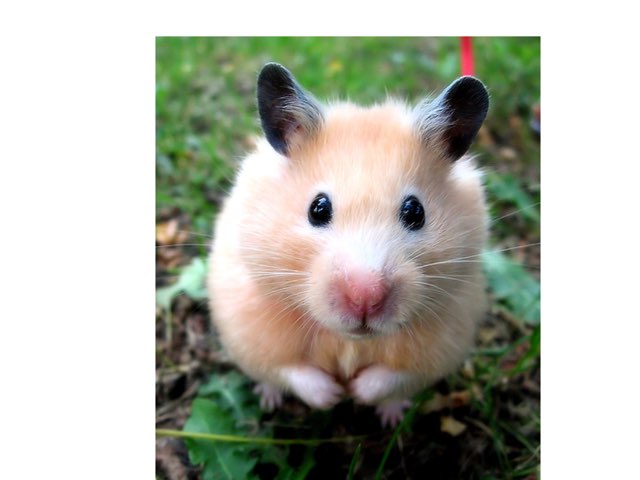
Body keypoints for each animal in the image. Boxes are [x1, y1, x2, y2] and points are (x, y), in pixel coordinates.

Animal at [208, 63, 489, 426]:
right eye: (318, 208)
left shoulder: (444, 341)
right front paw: (333, 395)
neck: (347, 339)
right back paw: (269, 401)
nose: (365, 297)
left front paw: (355, 392)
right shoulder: (249, 330)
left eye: (415, 211)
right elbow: (290, 370)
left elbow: (394, 376)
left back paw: (391, 416)